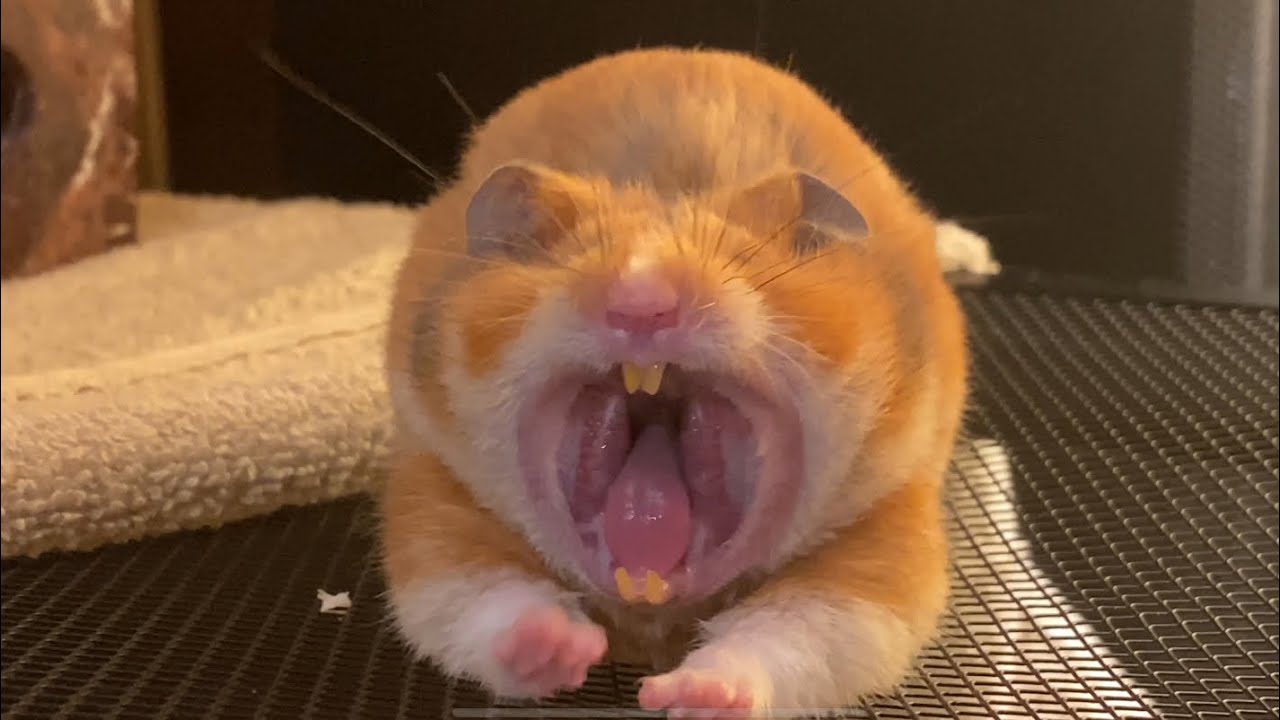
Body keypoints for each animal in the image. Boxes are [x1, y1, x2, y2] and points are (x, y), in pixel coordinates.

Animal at [381, 47, 968, 717]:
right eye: (573, 255)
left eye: (741, 255)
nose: (643, 303)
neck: (650, 608)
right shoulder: (434, 502)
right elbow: (474, 596)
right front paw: (566, 649)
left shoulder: (884, 535)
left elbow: (800, 629)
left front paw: (681, 693)